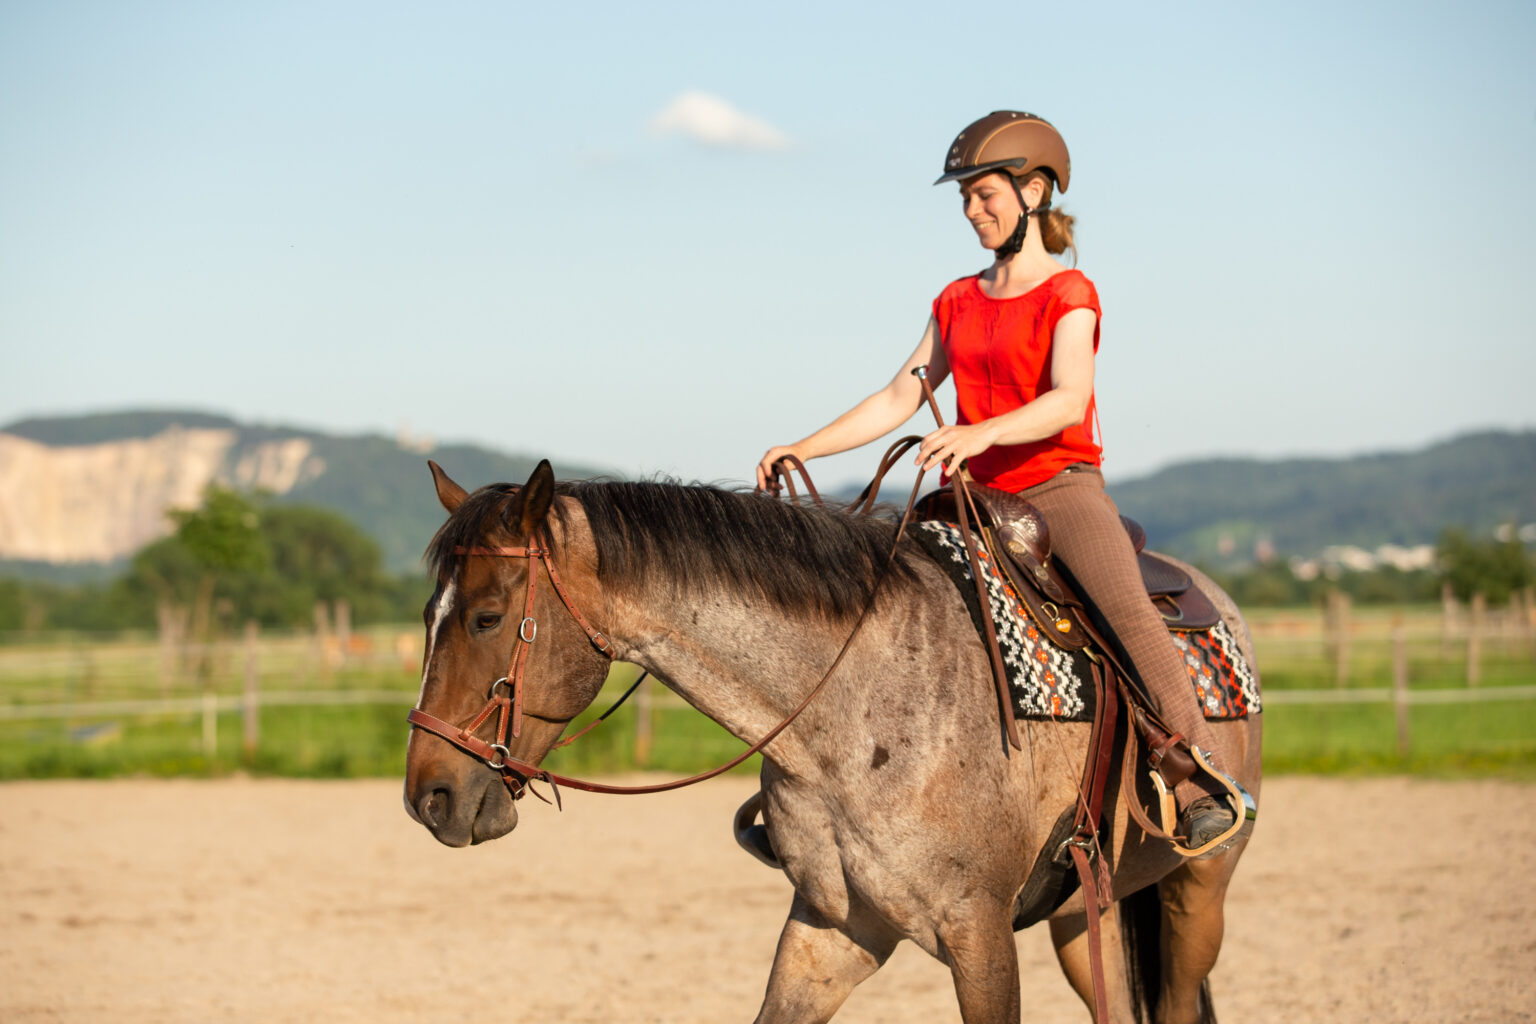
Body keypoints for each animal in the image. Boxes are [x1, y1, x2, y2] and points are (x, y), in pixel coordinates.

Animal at [403, 459, 1262, 1024]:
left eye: (486, 616)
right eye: (426, 615)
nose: (429, 796)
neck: (858, 709)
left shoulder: (980, 935)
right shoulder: (832, 928)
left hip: (1201, 893)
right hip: (1087, 914)